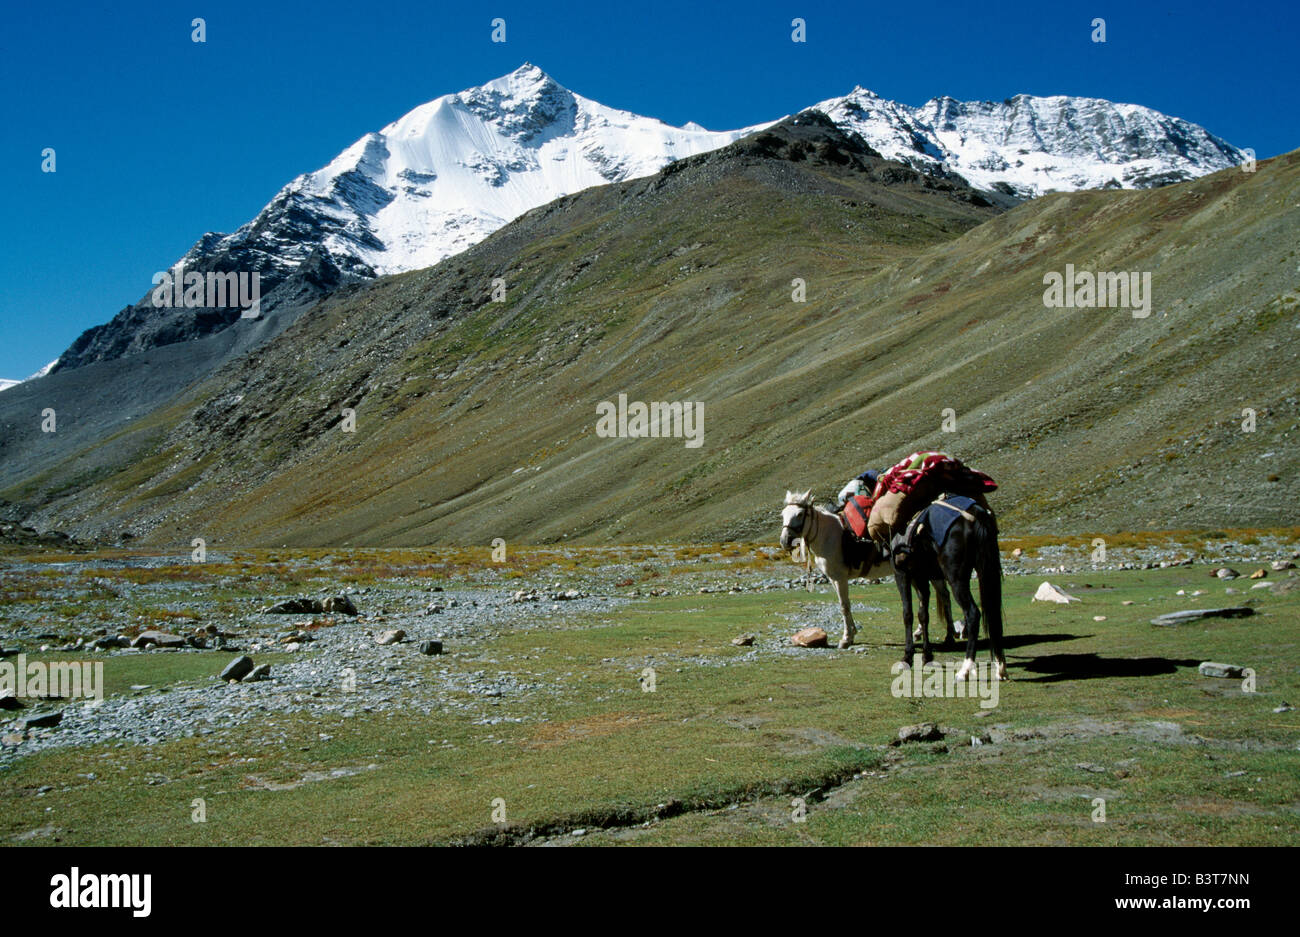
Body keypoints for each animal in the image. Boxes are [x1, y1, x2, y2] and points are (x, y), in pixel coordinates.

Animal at [779, 490, 961, 649]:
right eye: (783, 514)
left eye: (800, 514)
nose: (784, 541)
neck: (828, 535)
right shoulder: (833, 579)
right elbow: (844, 604)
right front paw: (852, 635)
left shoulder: (839, 578)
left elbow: (844, 606)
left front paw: (846, 639)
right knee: (931, 597)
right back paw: (922, 633)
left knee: (944, 595)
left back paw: (950, 635)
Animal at [889, 497, 1007, 681]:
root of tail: (977, 516)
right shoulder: (922, 577)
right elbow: (923, 615)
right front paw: (927, 656)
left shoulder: (902, 574)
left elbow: (907, 614)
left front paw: (907, 657)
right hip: (986, 569)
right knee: (993, 613)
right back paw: (1000, 668)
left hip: (956, 578)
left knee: (973, 613)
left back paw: (964, 670)